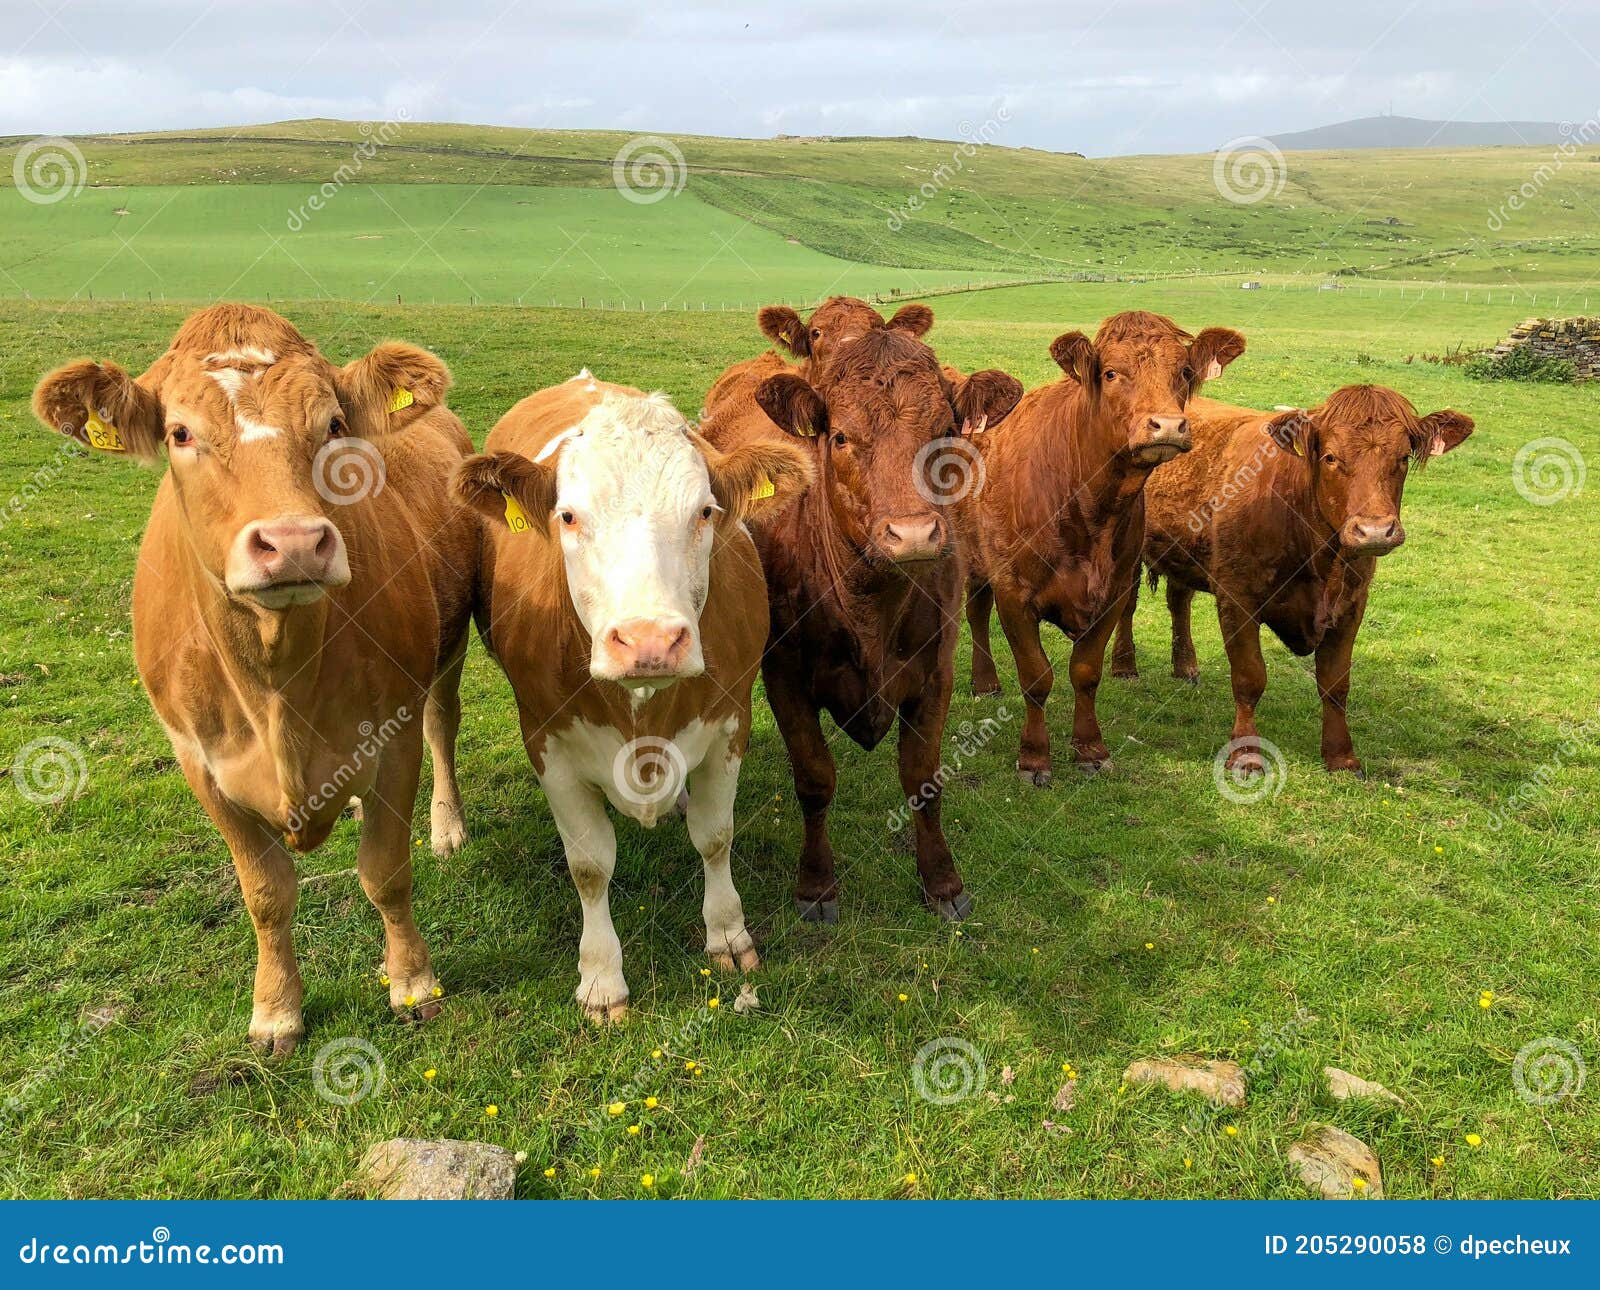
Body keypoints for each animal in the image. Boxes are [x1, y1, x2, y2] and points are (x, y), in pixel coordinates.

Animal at [31, 304, 480, 1057]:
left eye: (333, 424)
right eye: (180, 432)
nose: (294, 541)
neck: (276, 681)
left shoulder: (391, 740)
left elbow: (386, 873)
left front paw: (413, 983)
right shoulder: (199, 760)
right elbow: (266, 894)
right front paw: (275, 1012)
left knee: (441, 723)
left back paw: (447, 827)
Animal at [452, 373, 812, 1022]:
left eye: (705, 511)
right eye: (569, 516)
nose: (650, 640)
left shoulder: (731, 720)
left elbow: (715, 835)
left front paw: (727, 934)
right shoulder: (546, 738)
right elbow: (590, 865)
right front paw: (601, 977)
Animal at [702, 328, 1022, 922]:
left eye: (946, 432)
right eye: (842, 437)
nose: (914, 535)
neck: (871, 608)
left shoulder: (935, 674)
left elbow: (923, 779)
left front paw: (942, 881)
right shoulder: (784, 676)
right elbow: (814, 778)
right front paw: (816, 885)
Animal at [954, 311, 1246, 784]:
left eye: (1185, 372)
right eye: (1111, 373)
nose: (1167, 425)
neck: (1089, 506)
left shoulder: (1114, 592)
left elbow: (1086, 672)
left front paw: (1090, 749)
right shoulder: (1014, 593)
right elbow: (1036, 677)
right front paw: (1034, 758)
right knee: (976, 614)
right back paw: (985, 683)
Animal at [1113, 385, 1473, 774]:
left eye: (1403, 457)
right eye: (1330, 457)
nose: (1375, 531)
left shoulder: (1352, 604)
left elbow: (1336, 684)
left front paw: (1341, 756)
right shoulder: (1237, 597)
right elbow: (1250, 677)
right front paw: (1245, 752)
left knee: (1179, 600)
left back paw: (1186, 666)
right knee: (1127, 605)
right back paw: (1124, 666)